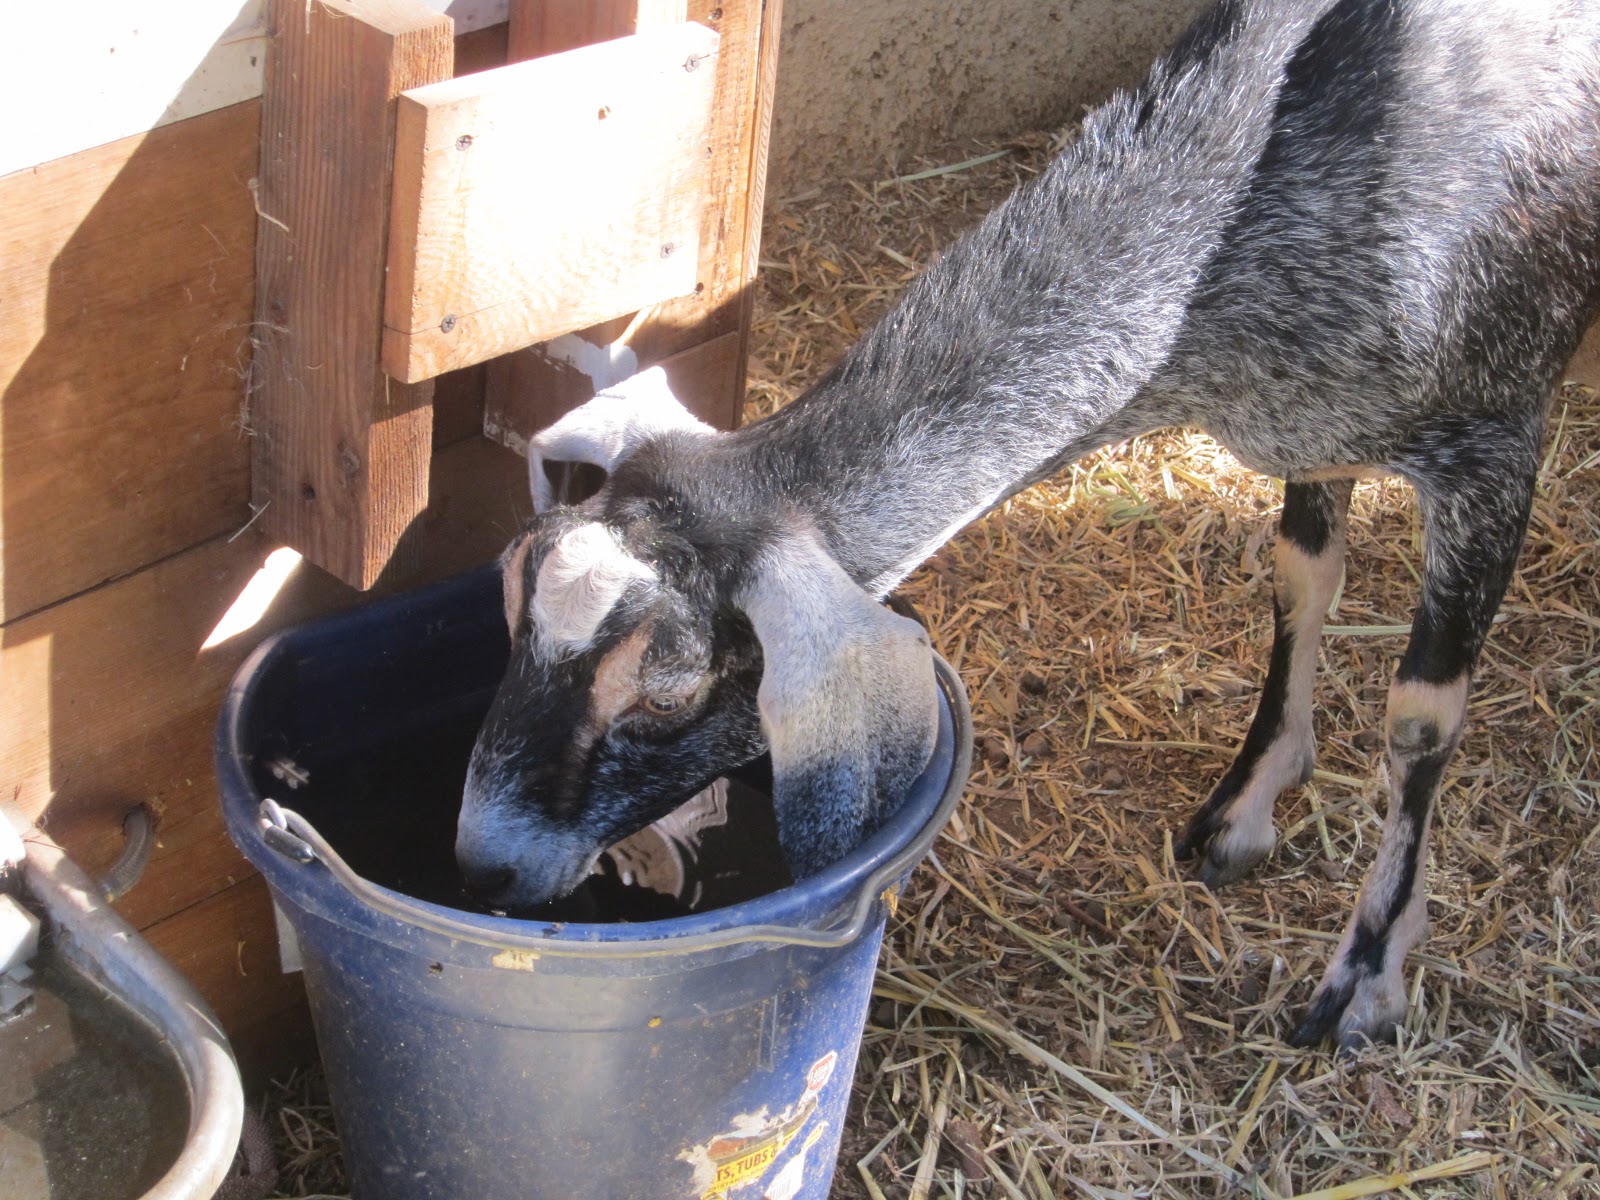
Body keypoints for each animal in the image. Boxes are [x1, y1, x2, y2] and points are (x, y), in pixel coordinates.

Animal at [457, 0, 1600, 1050]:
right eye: (512, 620)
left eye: (672, 694)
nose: (482, 861)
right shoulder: (1313, 430)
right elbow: (1301, 577)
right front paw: (1246, 807)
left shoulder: (1495, 440)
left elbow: (1420, 717)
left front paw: (1366, 973)